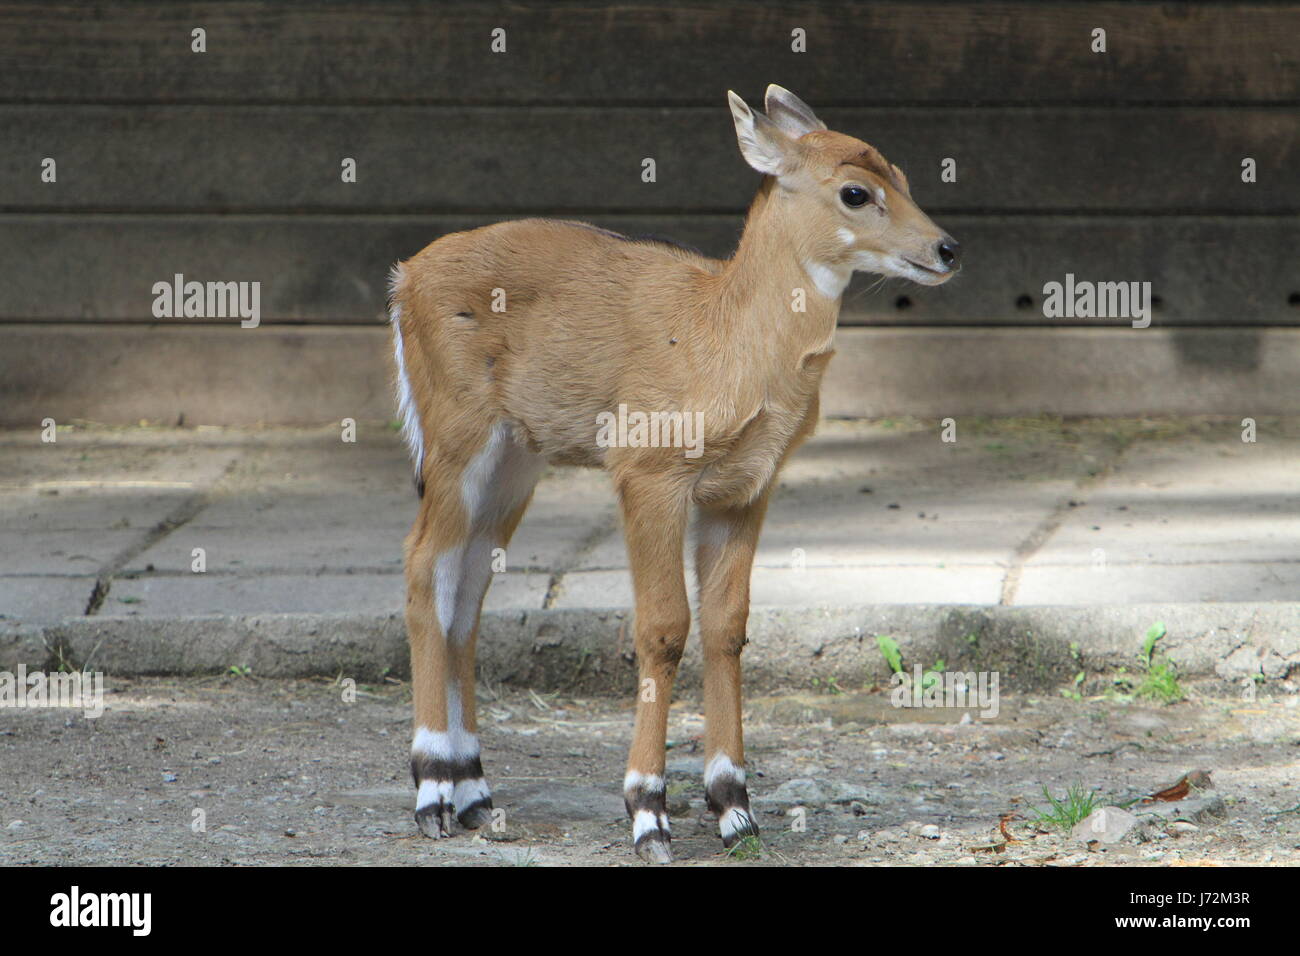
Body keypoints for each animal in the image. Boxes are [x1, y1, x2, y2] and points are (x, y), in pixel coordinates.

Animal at [388, 85, 960, 863]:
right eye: (855, 191)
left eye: (901, 174)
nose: (946, 248)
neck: (727, 342)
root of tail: (404, 279)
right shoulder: (648, 469)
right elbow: (662, 628)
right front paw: (648, 814)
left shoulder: (747, 488)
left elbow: (726, 625)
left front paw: (735, 808)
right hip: (457, 436)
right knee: (424, 566)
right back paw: (433, 792)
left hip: (516, 458)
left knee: (468, 581)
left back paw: (474, 789)